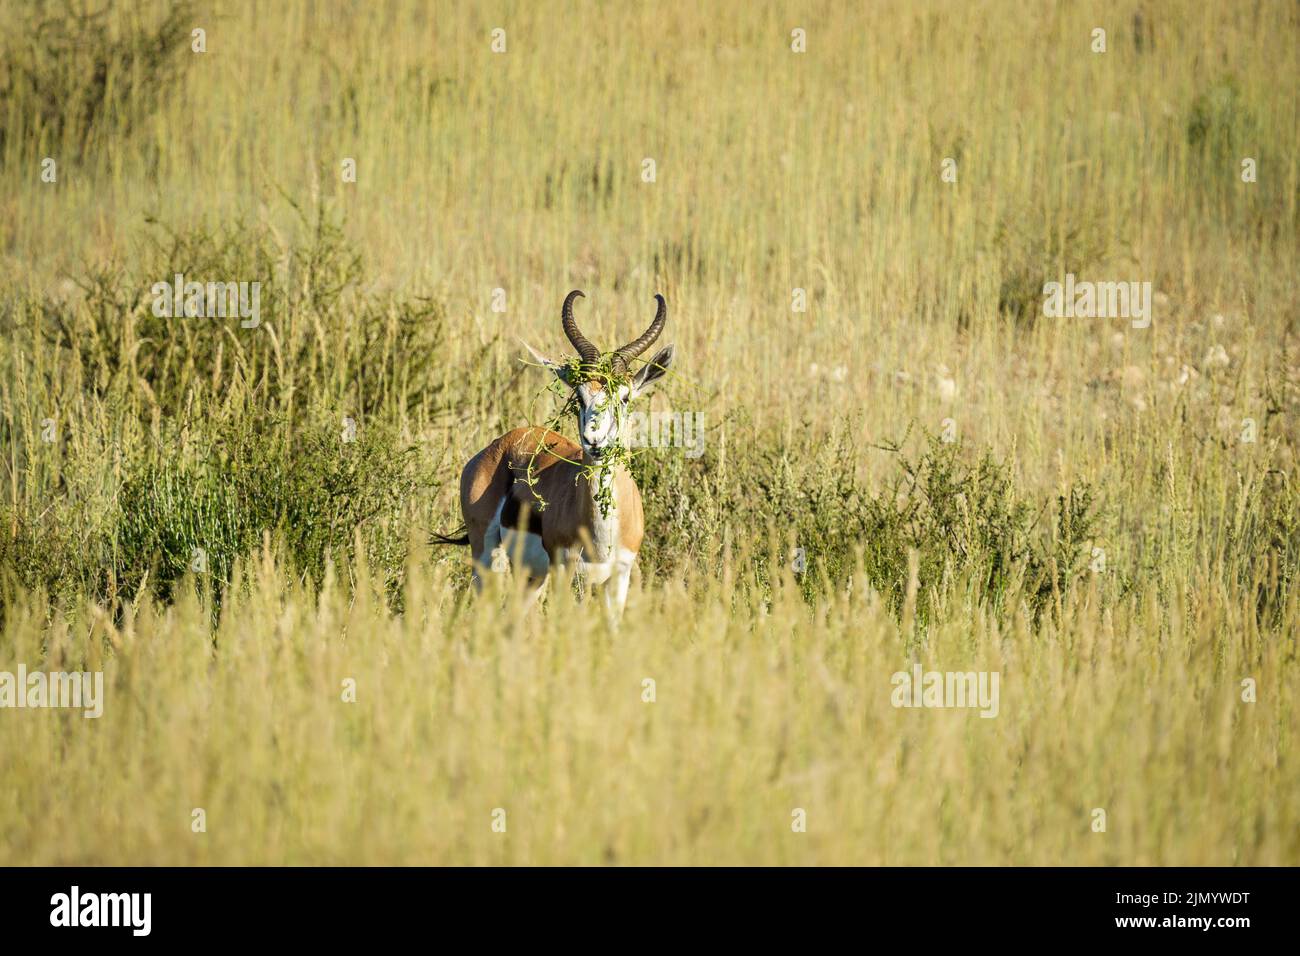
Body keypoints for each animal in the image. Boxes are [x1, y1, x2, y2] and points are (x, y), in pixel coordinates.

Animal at [435, 290, 675, 615]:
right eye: (580, 396)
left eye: (624, 397)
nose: (594, 441)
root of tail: (505, 441)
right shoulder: (565, 572)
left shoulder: (619, 577)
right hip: (488, 559)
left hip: (531, 577)